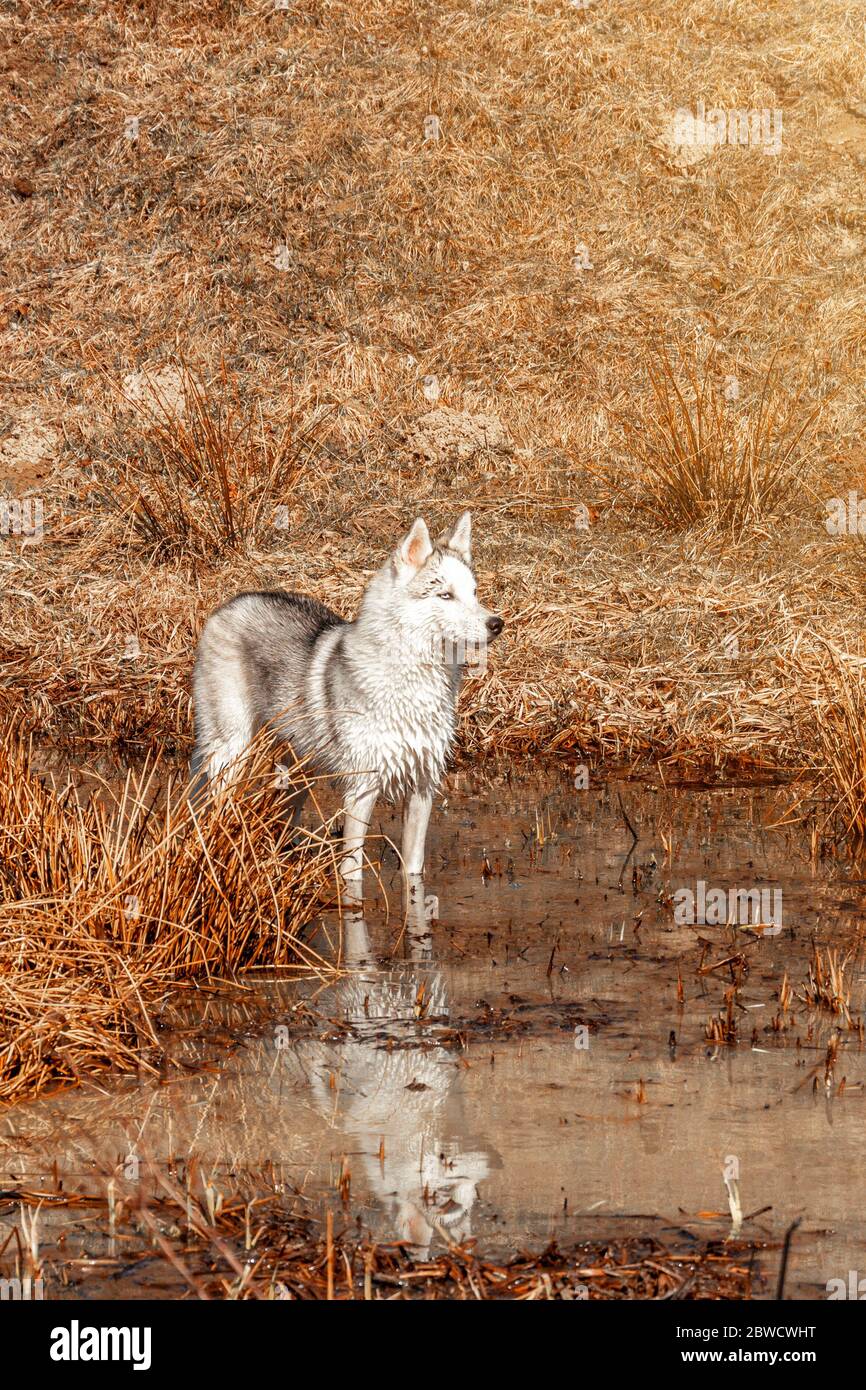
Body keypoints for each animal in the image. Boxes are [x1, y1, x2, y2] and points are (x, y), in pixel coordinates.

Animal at [190, 511, 503, 894]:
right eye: (445, 595)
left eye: (474, 593)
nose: (497, 623)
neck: (414, 685)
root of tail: (229, 604)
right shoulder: (362, 789)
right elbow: (352, 870)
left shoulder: (422, 787)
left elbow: (413, 870)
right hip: (231, 753)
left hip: (298, 775)